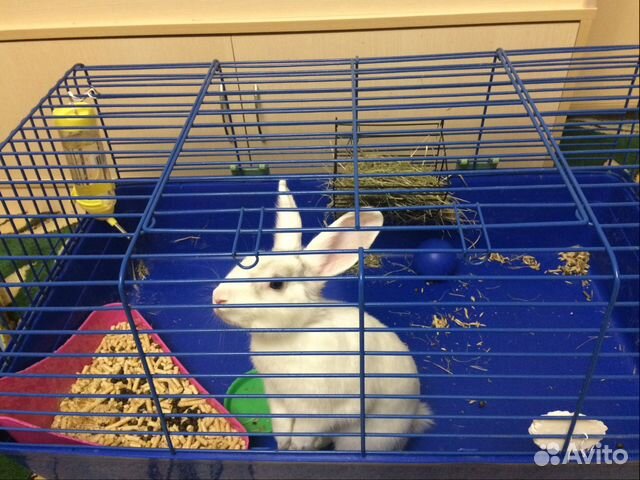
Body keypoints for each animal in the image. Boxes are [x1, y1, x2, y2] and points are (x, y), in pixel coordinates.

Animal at [212, 180, 433, 451]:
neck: (295, 333)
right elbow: (282, 422)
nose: (217, 298)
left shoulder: (325, 407)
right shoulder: (277, 397)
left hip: (361, 440)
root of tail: (413, 418)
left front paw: (298, 446)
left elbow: (307, 428)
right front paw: (283, 442)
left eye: (276, 284)